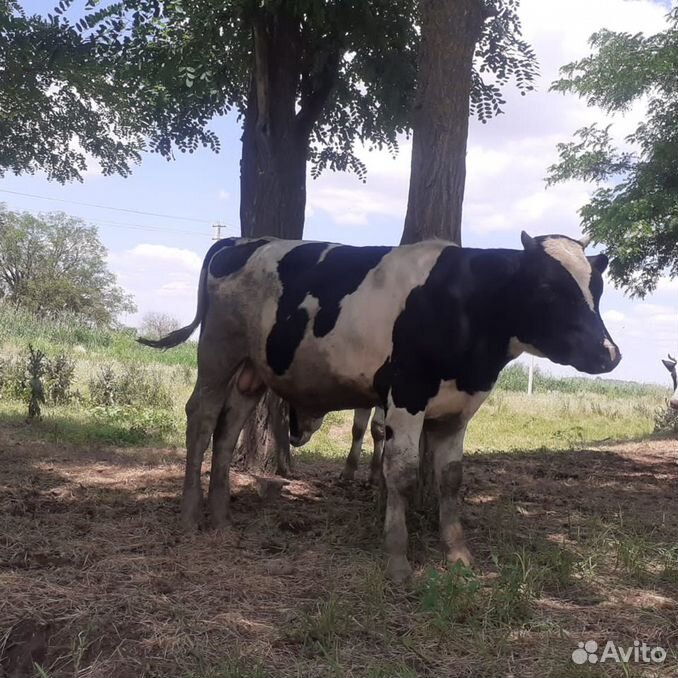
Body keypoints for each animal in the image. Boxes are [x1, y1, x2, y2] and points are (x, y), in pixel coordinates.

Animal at [142, 234, 620, 584]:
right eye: (547, 287)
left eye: (597, 289)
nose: (608, 354)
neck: (467, 305)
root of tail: (241, 240)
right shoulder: (406, 395)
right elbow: (403, 474)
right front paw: (398, 559)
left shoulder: (459, 410)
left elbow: (451, 479)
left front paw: (458, 553)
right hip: (217, 353)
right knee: (202, 418)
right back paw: (190, 514)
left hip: (251, 373)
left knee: (227, 430)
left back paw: (221, 518)